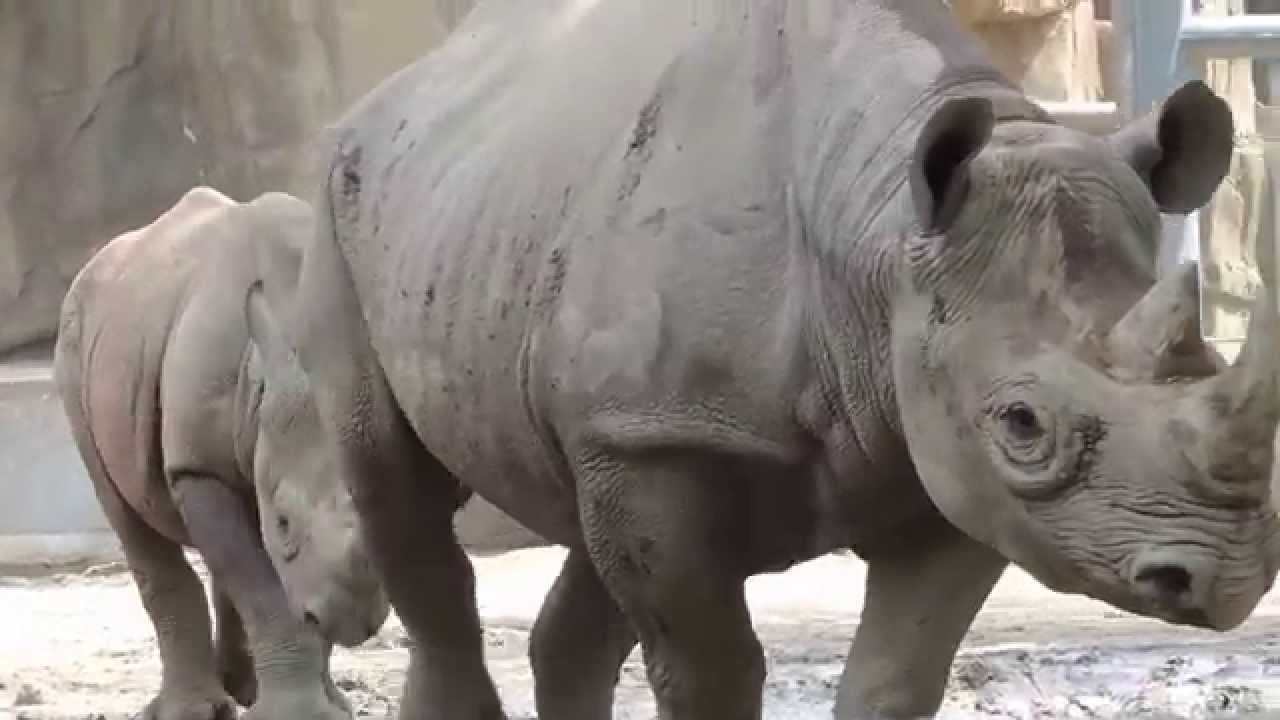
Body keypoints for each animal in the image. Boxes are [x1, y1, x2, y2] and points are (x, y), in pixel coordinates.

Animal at [53, 186, 389, 720]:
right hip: (74, 344)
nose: (354, 618)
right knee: (126, 512)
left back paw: (244, 690)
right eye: (284, 523)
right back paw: (193, 709)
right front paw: (300, 713)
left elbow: (277, 581)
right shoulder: (197, 468)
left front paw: (334, 706)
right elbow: (264, 587)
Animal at [245, 0, 1280, 718]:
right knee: (393, 484)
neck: (884, 237)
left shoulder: (941, 452)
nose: (1222, 579)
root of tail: (401, 92)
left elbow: (897, 677)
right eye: (1023, 424)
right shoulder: (664, 435)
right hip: (342, 216)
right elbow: (712, 671)